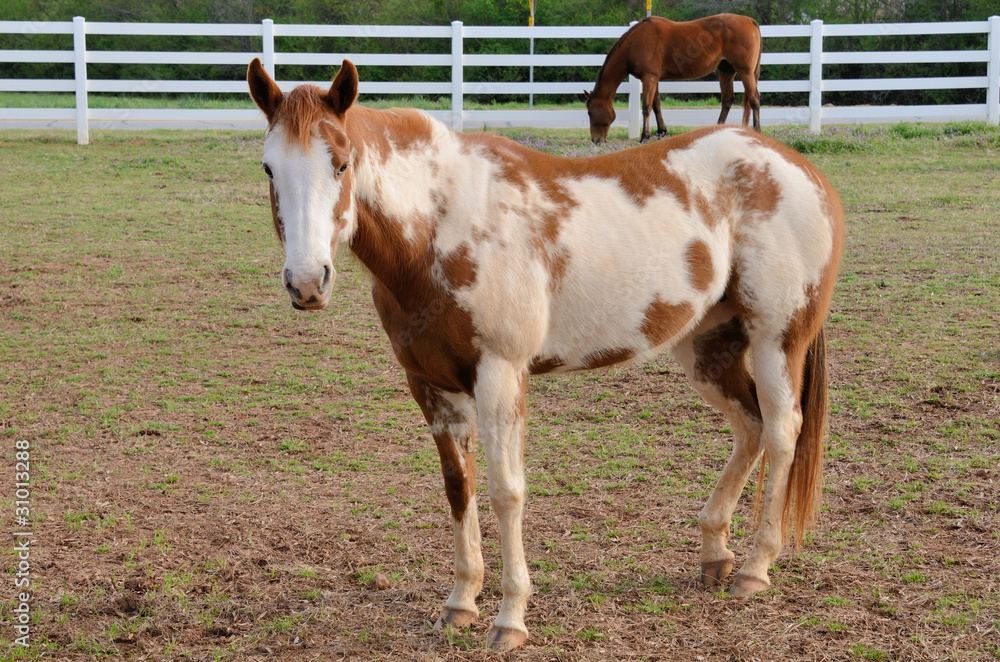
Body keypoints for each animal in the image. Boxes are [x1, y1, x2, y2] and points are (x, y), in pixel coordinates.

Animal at [247, 58, 843, 649]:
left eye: (342, 164)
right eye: (270, 169)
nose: (307, 283)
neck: (440, 228)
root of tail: (801, 171)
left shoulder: (500, 376)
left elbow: (505, 492)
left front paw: (510, 618)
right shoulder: (430, 385)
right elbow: (458, 487)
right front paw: (460, 602)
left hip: (775, 342)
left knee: (782, 431)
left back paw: (754, 569)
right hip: (707, 349)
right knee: (750, 426)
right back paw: (716, 554)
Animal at [584, 14, 762, 143]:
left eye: (590, 112)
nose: (596, 140)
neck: (634, 43)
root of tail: (750, 21)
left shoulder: (649, 77)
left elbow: (646, 107)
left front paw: (644, 136)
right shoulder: (653, 78)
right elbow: (656, 104)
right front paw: (661, 132)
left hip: (745, 72)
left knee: (754, 99)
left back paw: (757, 131)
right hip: (726, 70)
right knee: (727, 99)